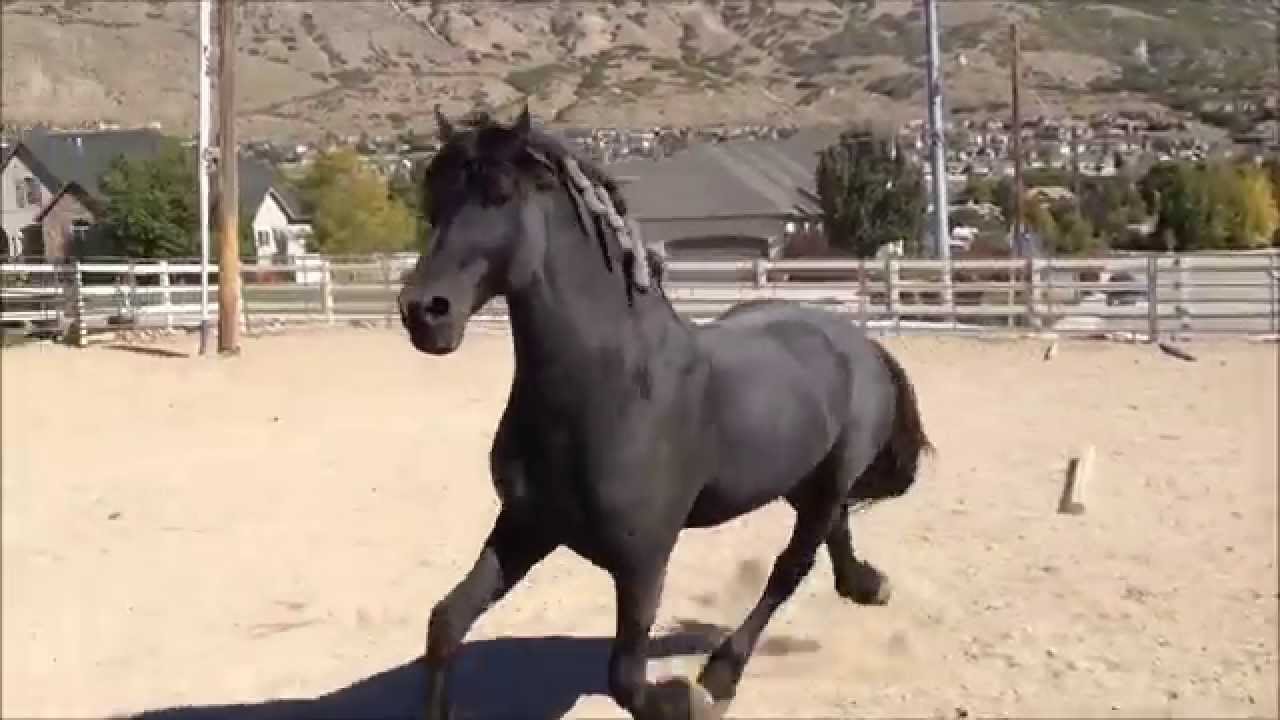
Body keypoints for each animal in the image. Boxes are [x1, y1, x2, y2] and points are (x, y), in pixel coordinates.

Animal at [398, 105, 932, 720]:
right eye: (433, 199)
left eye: (500, 193)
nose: (424, 312)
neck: (612, 391)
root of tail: (858, 343)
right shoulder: (526, 526)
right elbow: (446, 623)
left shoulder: (643, 559)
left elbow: (626, 679)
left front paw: (687, 697)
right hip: (803, 478)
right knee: (833, 534)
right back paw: (865, 586)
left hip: (830, 478)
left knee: (791, 568)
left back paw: (721, 676)